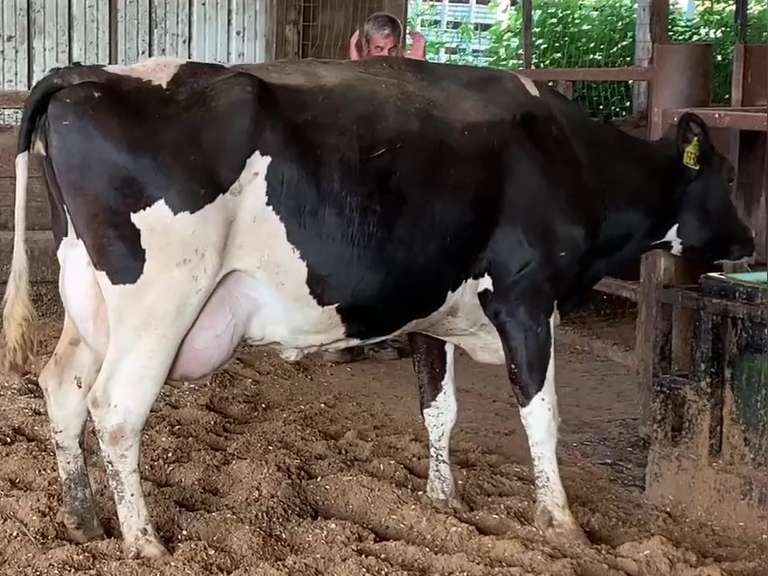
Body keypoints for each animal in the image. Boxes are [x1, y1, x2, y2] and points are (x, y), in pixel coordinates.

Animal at [1, 56, 754, 559]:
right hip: (159, 303)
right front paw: (561, 522)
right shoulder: (526, 300)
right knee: (115, 410)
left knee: (63, 386)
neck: (571, 159)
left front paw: (443, 501)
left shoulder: (433, 308)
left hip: (89, 301)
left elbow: (439, 410)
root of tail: (84, 75)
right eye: (724, 177)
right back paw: (145, 542)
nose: (749, 242)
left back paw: (81, 518)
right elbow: (542, 416)